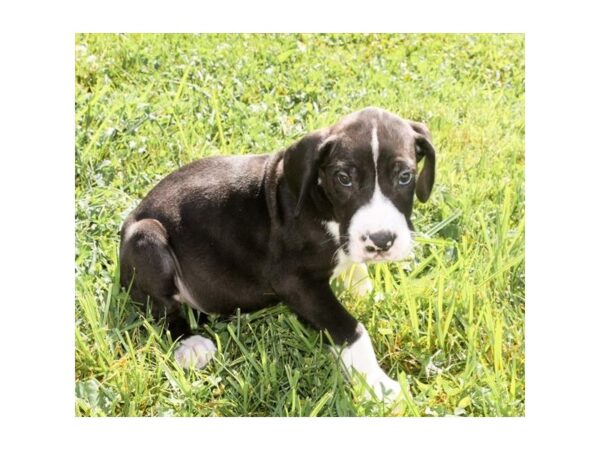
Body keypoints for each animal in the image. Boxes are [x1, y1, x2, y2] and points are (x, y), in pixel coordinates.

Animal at [119, 106, 436, 400]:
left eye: (405, 176)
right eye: (344, 178)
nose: (381, 241)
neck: (320, 201)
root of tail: (130, 219)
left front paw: (361, 287)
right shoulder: (293, 281)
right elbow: (351, 329)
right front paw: (379, 386)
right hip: (146, 238)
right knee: (160, 309)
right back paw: (190, 342)